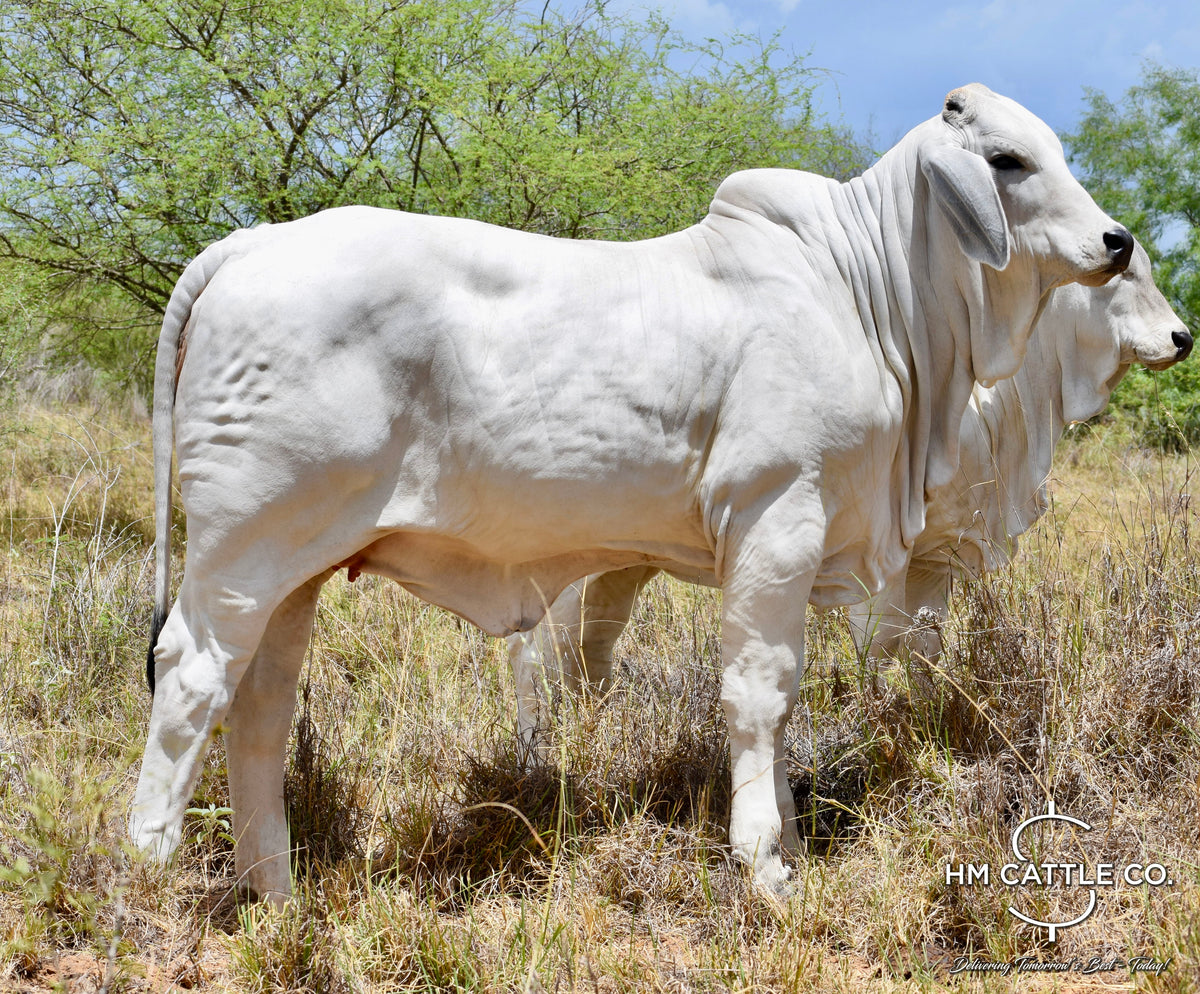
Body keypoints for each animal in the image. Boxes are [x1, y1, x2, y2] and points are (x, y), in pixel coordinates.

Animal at [130, 84, 1132, 902]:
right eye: (1007, 160)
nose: (1116, 242)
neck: (866, 293)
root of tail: (248, 244)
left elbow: (788, 698)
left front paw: (790, 840)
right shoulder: (777, 519)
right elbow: (760, 691)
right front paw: (764, 864)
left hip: (292, 565)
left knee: (259, 704)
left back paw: (275, 892)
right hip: (240, 548)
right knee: (190, 676)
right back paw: (144, 870)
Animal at [845, 239, 1191, 663]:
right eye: (1122, 273)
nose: (1184, 339)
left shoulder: (933, 558)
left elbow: (924, 645)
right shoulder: (878, 561)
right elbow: (877, 647)